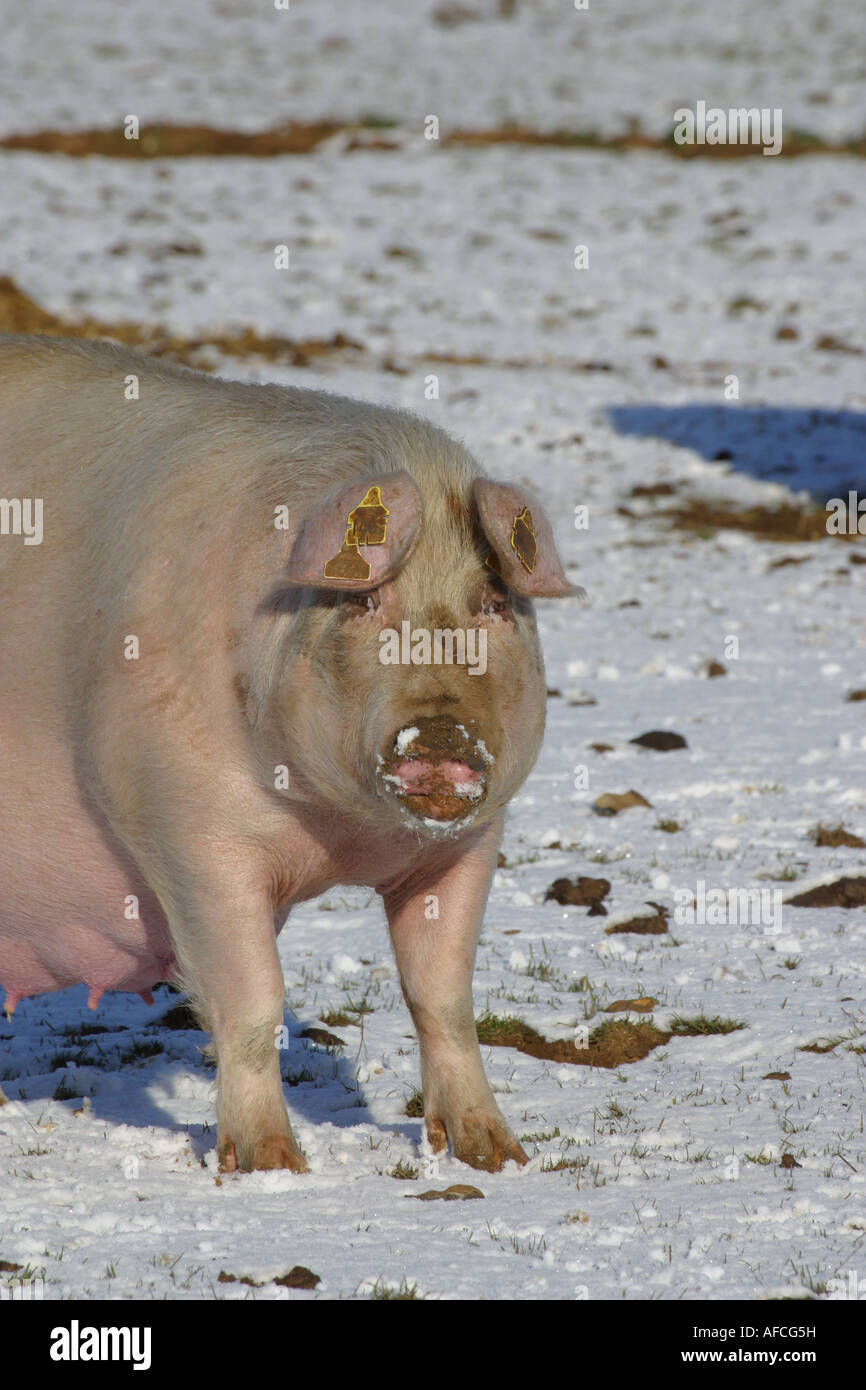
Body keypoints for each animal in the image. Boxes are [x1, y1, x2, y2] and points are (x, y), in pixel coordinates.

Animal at [0, 334, 579, 1173]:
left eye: (495, 603)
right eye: (365, 600)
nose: (439, 732)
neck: (343, 833)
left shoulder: (471, 841)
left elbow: (442, 997)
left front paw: (496, 1155)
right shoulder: (185, 829)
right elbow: (250, 1002)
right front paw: (272, 1165)